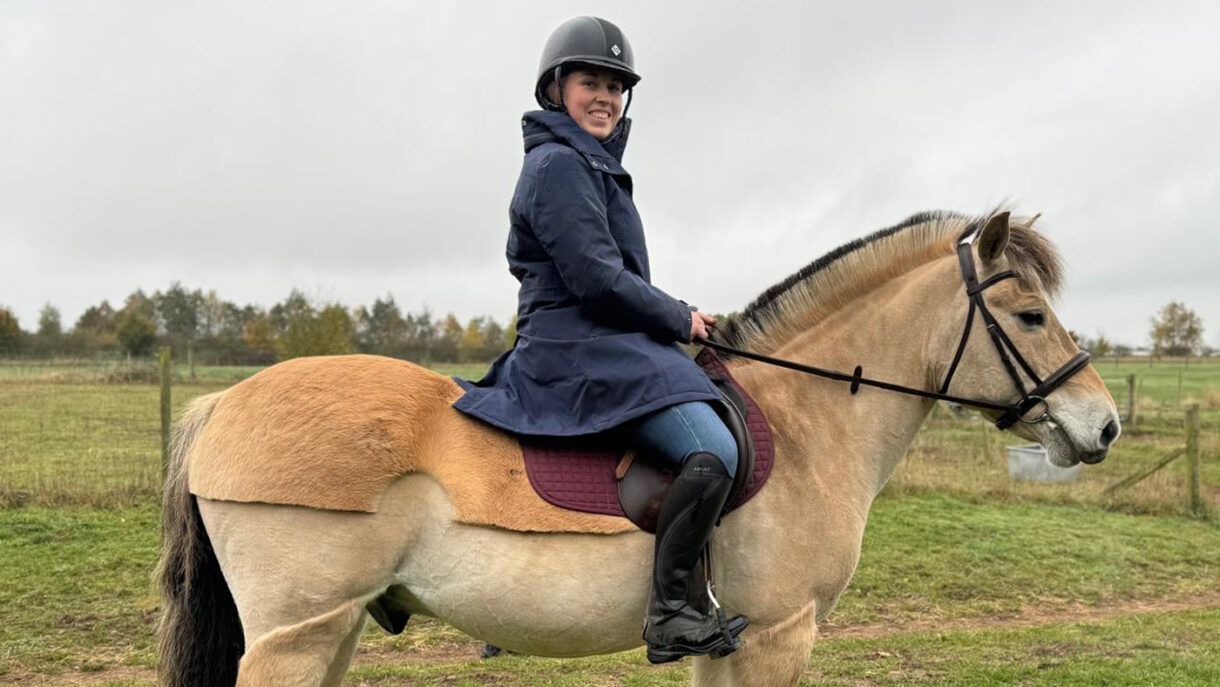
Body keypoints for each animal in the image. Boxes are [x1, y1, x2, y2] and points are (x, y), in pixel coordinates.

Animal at [156, 209, 1121, 687]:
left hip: (332, 629)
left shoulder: (739, 644)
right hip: (296, 636)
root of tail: (221, 405)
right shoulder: (781, 636)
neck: (808, 418)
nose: (1104, 423)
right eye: (1030, 315)